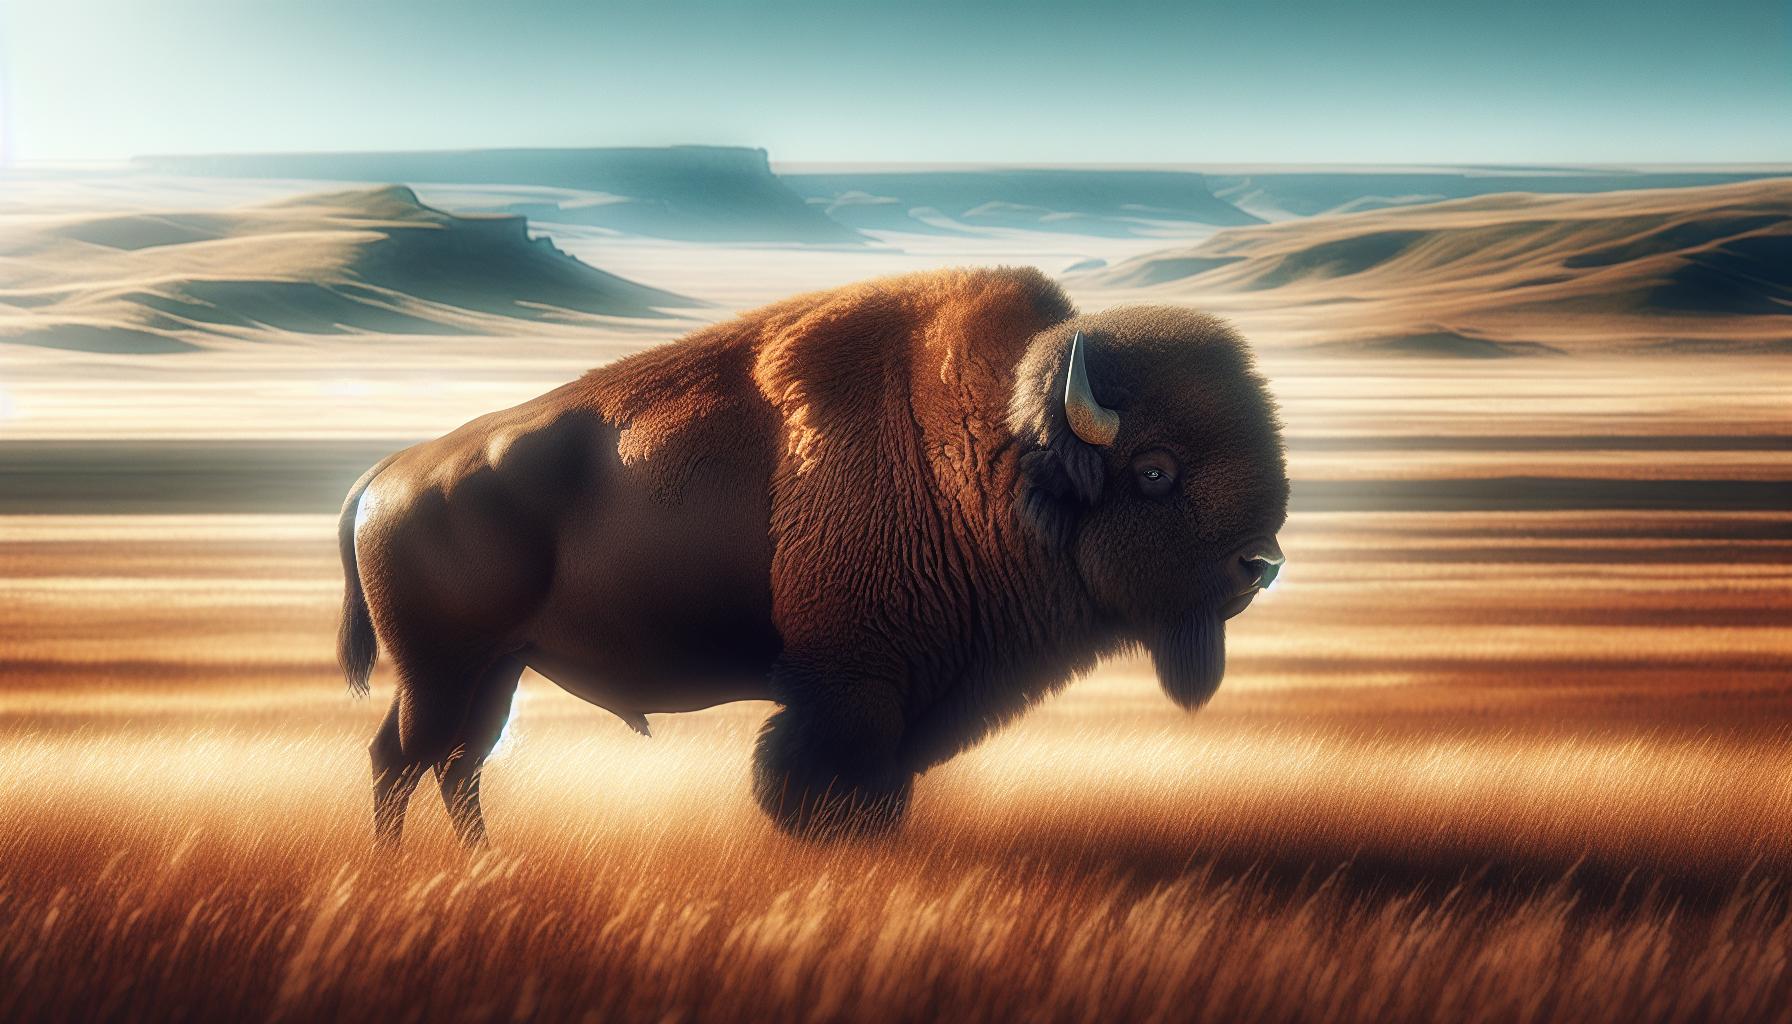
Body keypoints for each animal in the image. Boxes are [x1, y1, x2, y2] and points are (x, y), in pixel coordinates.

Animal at [338, 267, 1288, 847]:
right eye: (1155, 470)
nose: (1262, 566)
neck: (996, 448)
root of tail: (387, 474)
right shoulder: (851, 687)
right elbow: (825, 791)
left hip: (497, 670)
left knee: (454, 766)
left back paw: (484, 867)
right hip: (442, 672)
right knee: (401, 761)